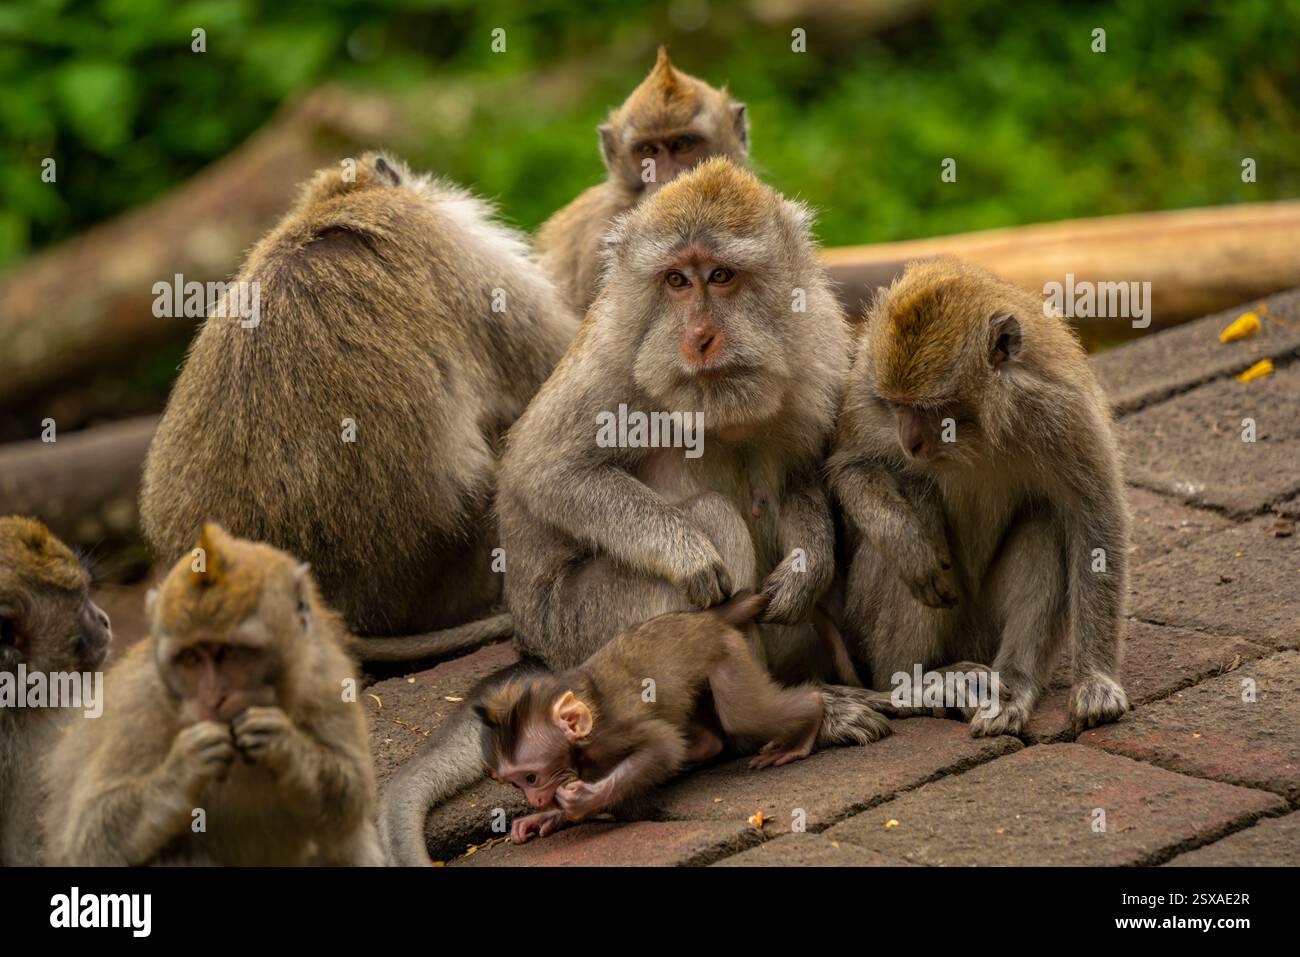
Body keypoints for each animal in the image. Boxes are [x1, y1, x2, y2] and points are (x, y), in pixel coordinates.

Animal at [42, 523, 382, 866]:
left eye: (233, 653)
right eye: (191, 658)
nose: (214, 699)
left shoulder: (326, 676)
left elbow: (353, 793)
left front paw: (285, 745)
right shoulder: (140, 704)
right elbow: (92, 835)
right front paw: (185, 765)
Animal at [478, 592, 821, 844]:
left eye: (531, 778)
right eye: (516, 784)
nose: (535, 800)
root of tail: (705, 617)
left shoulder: (611, 733)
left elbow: (663, 745)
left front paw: (584, 799)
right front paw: (547, 816)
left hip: (724, 649)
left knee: (743, 716)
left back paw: (810, 716)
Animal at [827, 257, 1132, 737]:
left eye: (932, 409)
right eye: (895, 405)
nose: (909, 442)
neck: (978, 434)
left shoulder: (1060, 408)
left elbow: (1095, 517)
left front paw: (1096, 681)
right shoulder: (864, 395)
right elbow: (849, 468)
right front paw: (906, 543)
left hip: (984, 630)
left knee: (1045, 522)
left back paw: (1014, 684)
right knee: (919, 497)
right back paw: (911, 684)